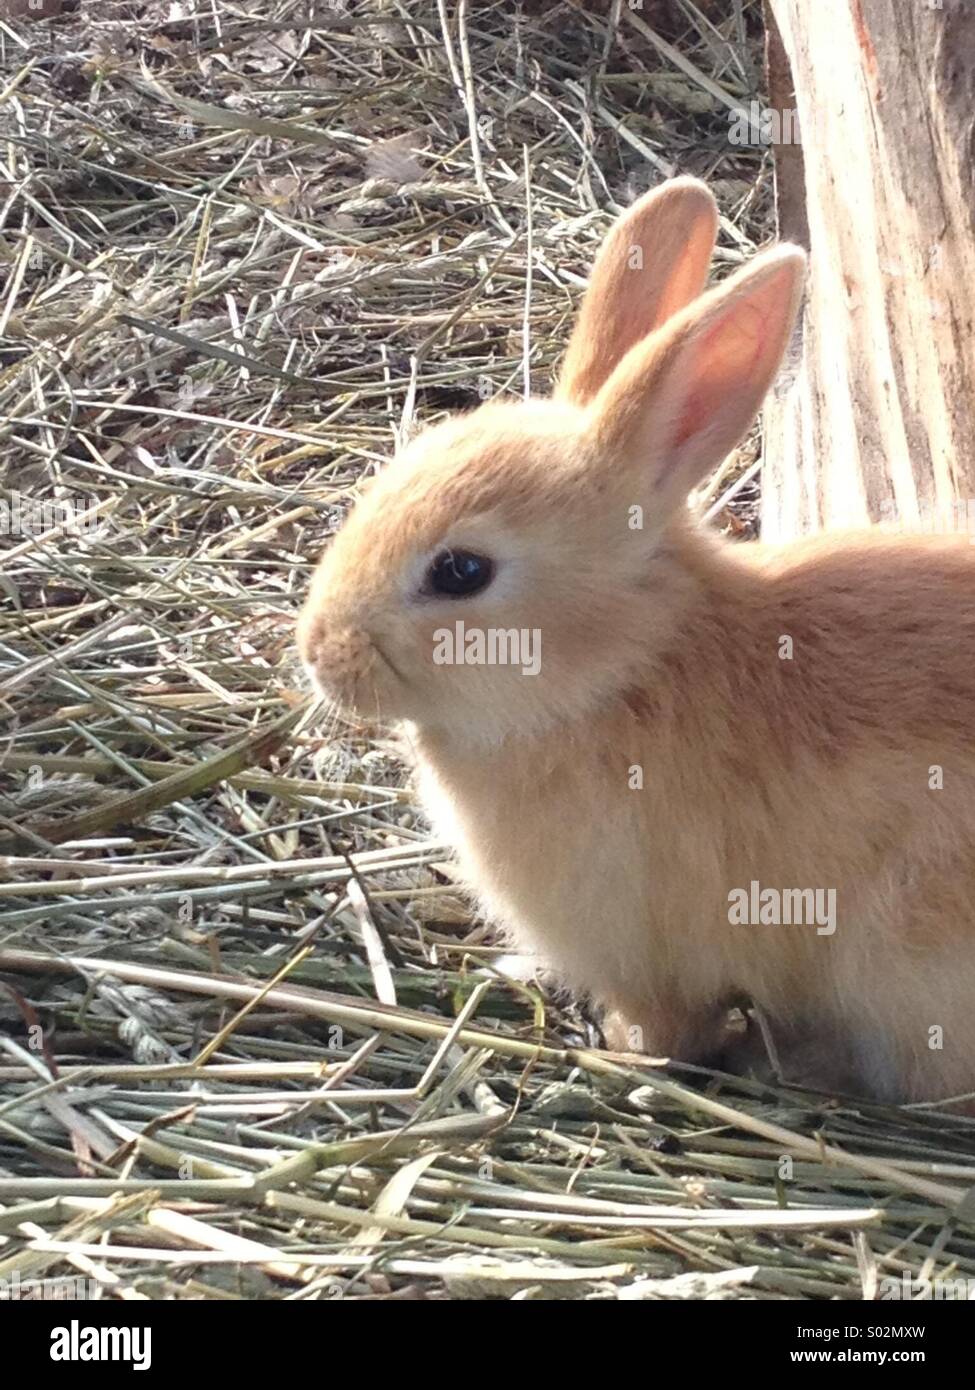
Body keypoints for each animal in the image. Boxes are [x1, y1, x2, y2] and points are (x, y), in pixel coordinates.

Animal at [297, 175, 975, 1107]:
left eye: (461, 572)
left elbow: (665, 1024)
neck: (620, 667)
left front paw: (624, 1053)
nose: (319, 653)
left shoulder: (645, 952)